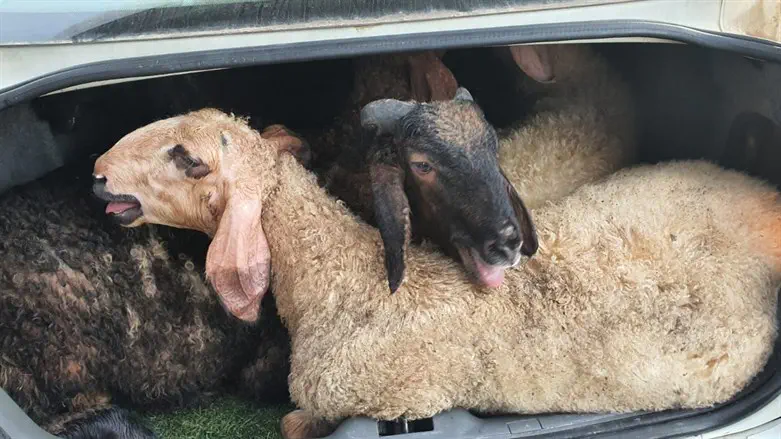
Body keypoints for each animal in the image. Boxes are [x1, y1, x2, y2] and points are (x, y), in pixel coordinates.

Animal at [93, 108, 780, 439]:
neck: (341, 280)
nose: (98, 172)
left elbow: (292, 424)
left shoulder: (373, 399)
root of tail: (766, 205)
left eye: (188, 160)